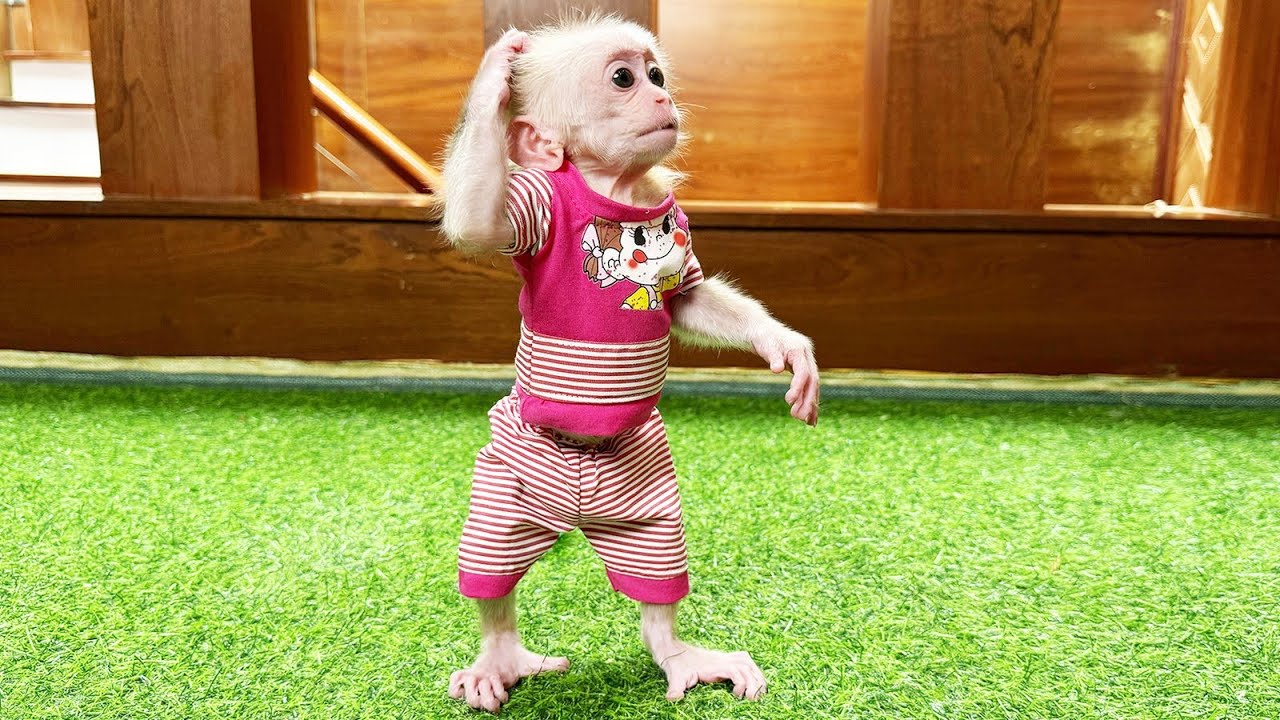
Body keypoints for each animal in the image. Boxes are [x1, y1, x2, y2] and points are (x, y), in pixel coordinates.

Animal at [440, 14, 820, 713]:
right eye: (623, 78)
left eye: (656, 73)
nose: (661, 95)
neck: (613, 192)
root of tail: (573, 511)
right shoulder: (537, 205)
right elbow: (480, 223)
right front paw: (494, 78)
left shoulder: (678, 244)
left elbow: (689, 297)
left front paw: (783, 346)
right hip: (510, 485)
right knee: (493, 566)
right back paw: (498, 657)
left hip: (644, 503)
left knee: (655, 573)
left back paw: (676, 654)